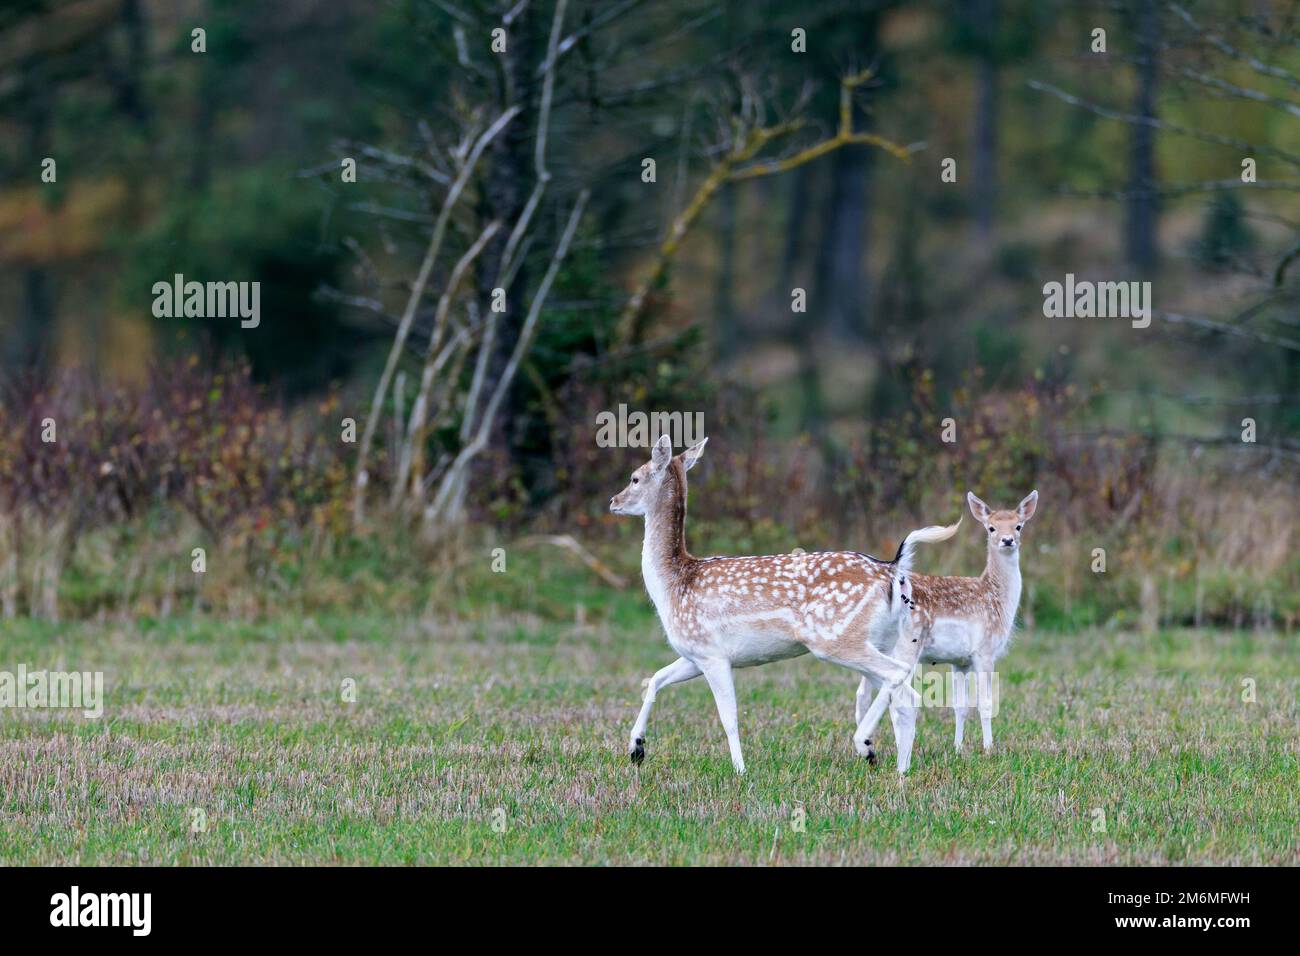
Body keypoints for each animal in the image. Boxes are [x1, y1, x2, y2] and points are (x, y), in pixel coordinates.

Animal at [608, 434, 960, 774]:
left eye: (635, 477)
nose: (613, 501)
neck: (674, 584)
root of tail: (894, 569)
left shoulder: (713, 654)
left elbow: (729, 717)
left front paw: (740, 770)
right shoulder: (694, 654)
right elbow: (654, 679)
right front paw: (636, 749)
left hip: (835, 638)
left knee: (897, 677)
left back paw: (866, 746)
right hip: (880, 640)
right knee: (905, 695)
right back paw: (899, 769)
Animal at [853, 490, 1039, 763]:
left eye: (1019, 526)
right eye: (991, 527)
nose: (1007, 540)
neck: (997, 599)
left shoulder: (959, 660)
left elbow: (960, 706)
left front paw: (958, 748)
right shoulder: (984, 651)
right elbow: (985, 703)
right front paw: (989, 750)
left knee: (863, 692)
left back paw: (867, 748)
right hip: (905, 647)